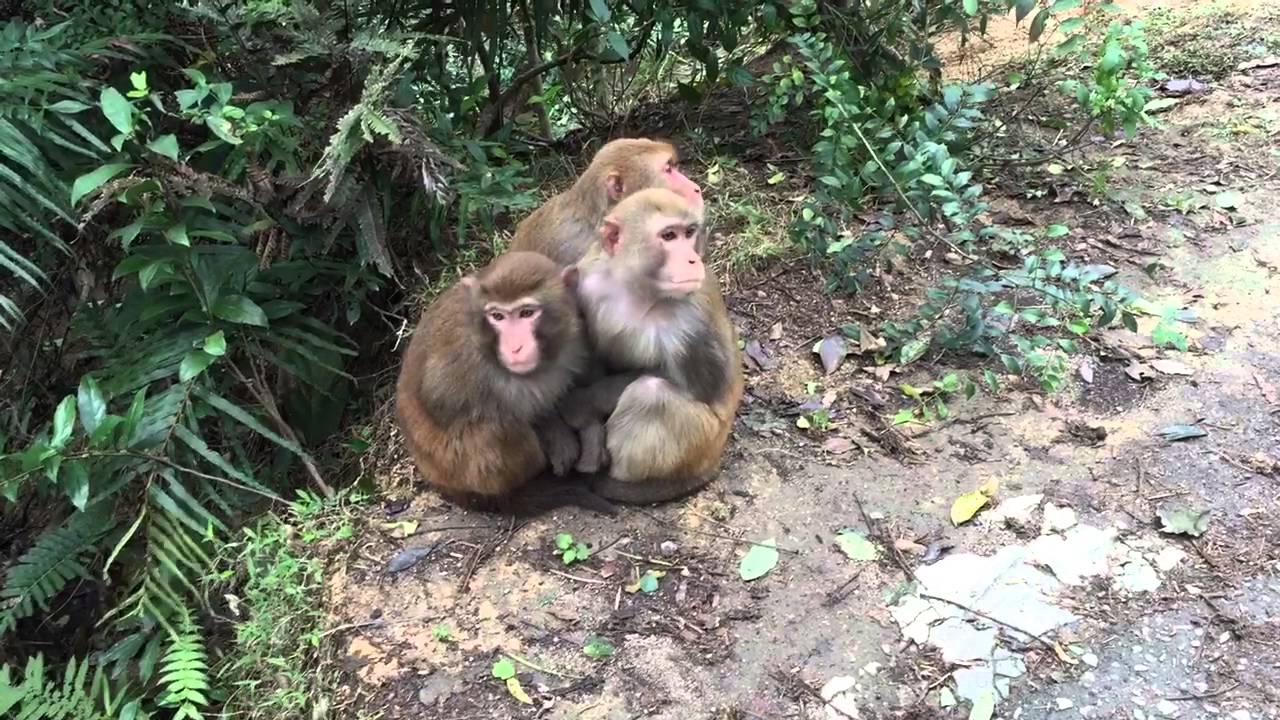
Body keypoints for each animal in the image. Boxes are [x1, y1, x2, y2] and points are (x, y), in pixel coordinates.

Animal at [394, 251, 614, 513]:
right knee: (499, 430)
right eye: (497, 316)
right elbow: (440, 405)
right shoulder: (458, 360)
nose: (515, 348)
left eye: (527, 313)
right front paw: (556, 434)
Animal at [567, 188, 745, 503]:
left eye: (689, 233)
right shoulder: (587, 277)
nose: (693, 260)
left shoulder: (690, 321)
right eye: (669, 236)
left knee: (651, 396)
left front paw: (583, 403)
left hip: (703, 442)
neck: (637, 288)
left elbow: (700, 388)